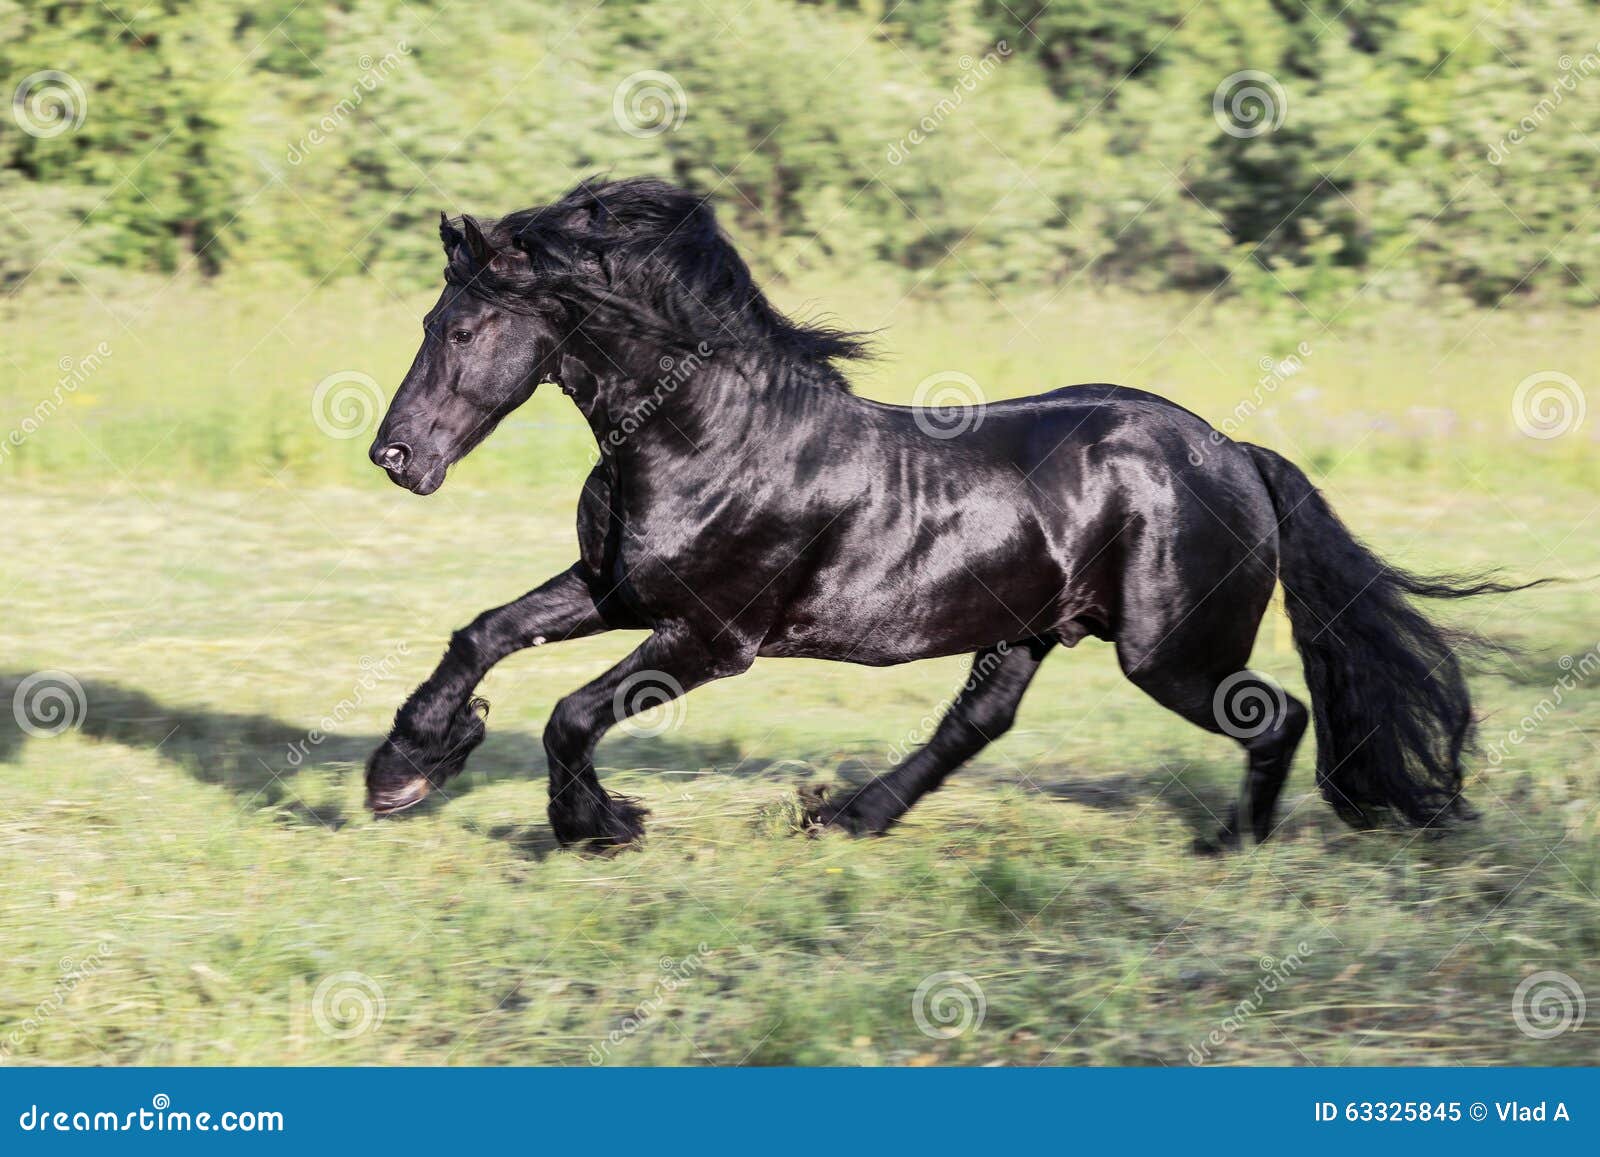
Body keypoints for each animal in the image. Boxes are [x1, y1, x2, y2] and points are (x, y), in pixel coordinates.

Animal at [362, 175, 1528, 852]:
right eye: (428, 319)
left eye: (464, 329)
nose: (394, 456)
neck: (708, 435)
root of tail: (1232, 451)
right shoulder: (615, 588)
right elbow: (481, 633)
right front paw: (405, 766)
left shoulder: (709, 636)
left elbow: (571, 712)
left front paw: (597, 823)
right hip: (1030, 627)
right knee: (979, 719)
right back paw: (846, 814)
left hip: (1168, 651)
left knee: (1273, 714)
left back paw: (1231, 845)